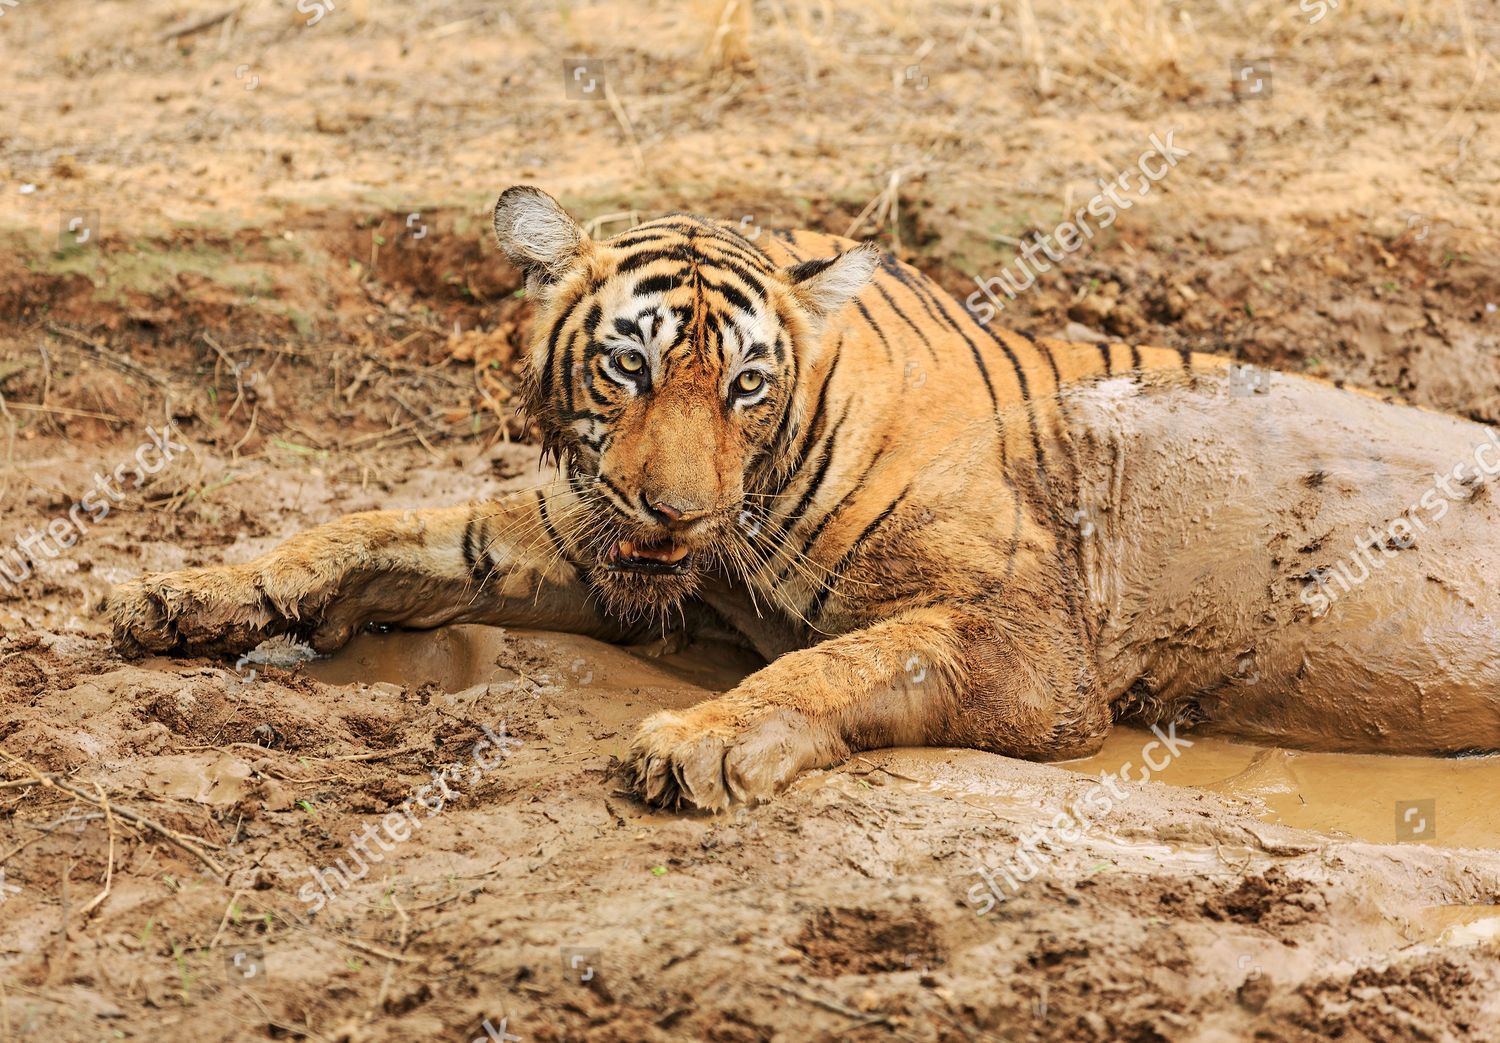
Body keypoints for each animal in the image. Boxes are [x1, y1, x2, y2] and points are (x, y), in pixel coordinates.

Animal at [107, 185, 1500, 811]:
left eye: (744, 386)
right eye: (628, 366)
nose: (674, 511)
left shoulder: (1028, 645)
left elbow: (842, 660)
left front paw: (695, 741)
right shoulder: (604, 543)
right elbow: (387, 524)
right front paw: (183, 595)